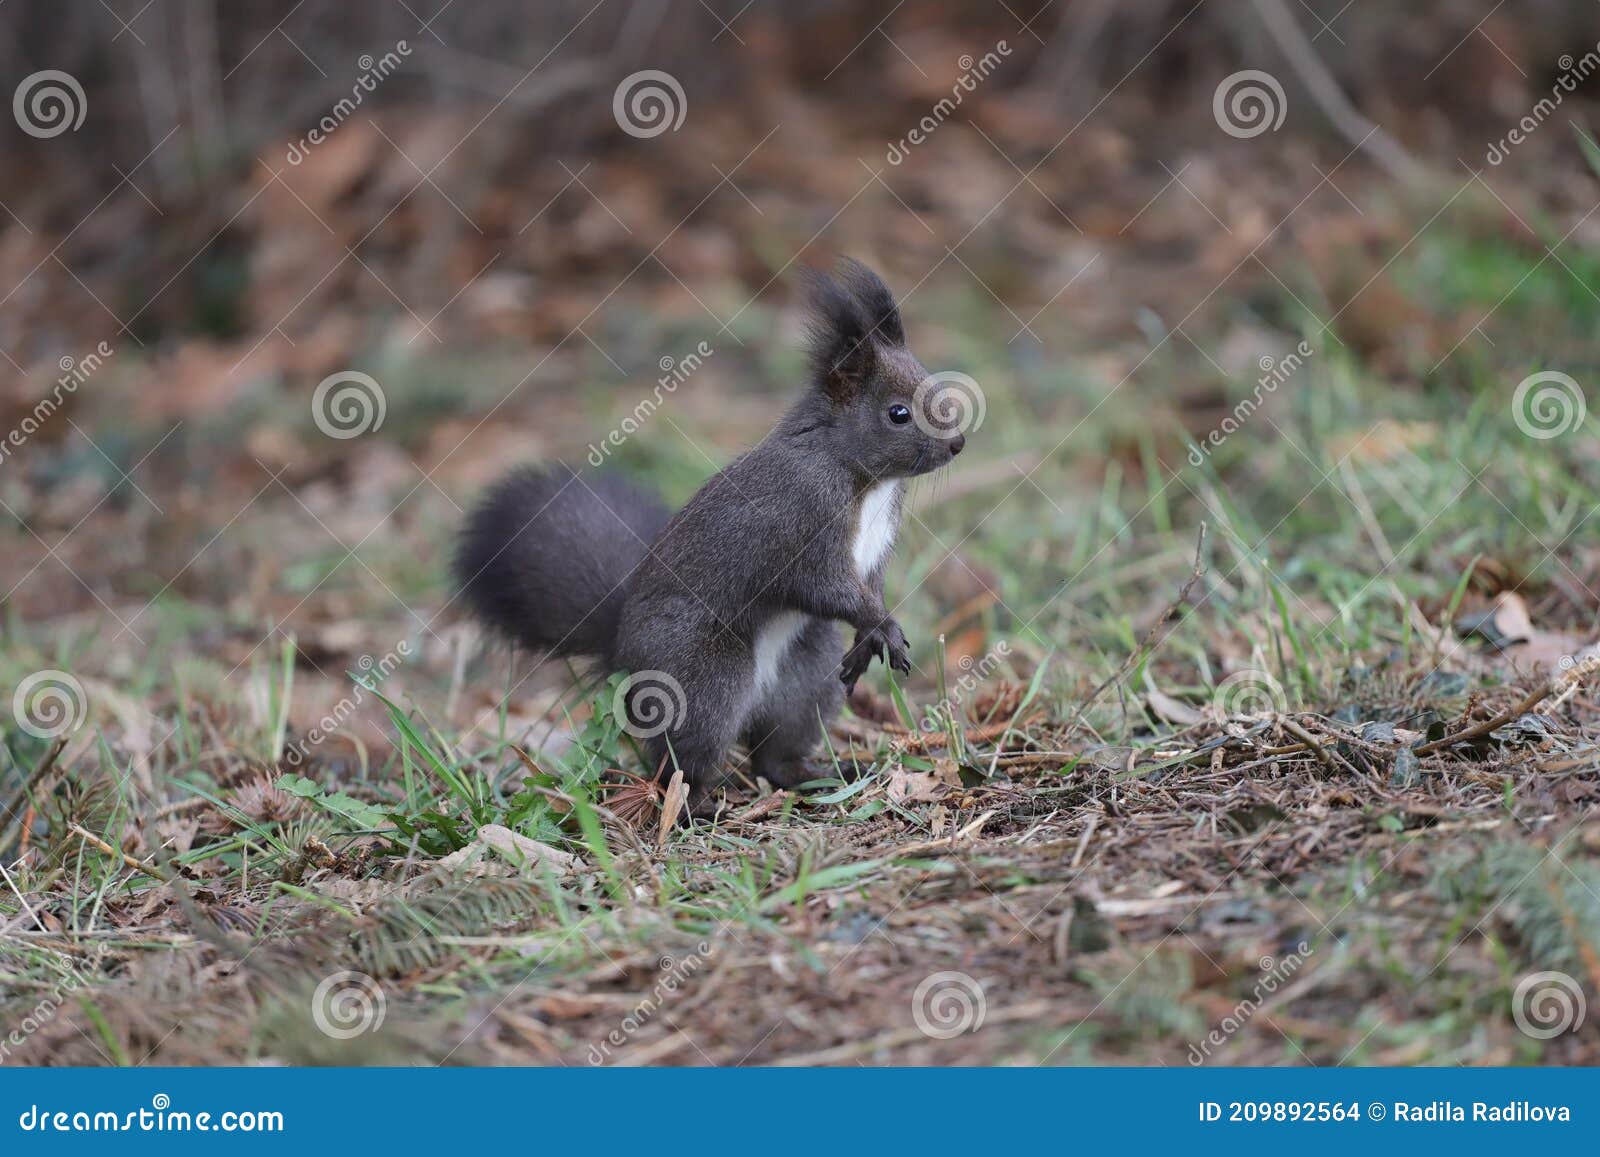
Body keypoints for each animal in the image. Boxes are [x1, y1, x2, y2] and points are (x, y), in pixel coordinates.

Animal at [453, 259, 966, 813]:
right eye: (898, 412)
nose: (958, 443)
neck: (862, 476)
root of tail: (621, 654)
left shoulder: (874, 549)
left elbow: (870, 584)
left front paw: (873, 635)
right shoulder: (801, 524)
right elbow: (825, 586)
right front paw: (881, 627)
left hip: (808, 675)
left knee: (775, 752)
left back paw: (820, 774)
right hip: (703, 679)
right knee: (680, 759)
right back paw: (694, 805)